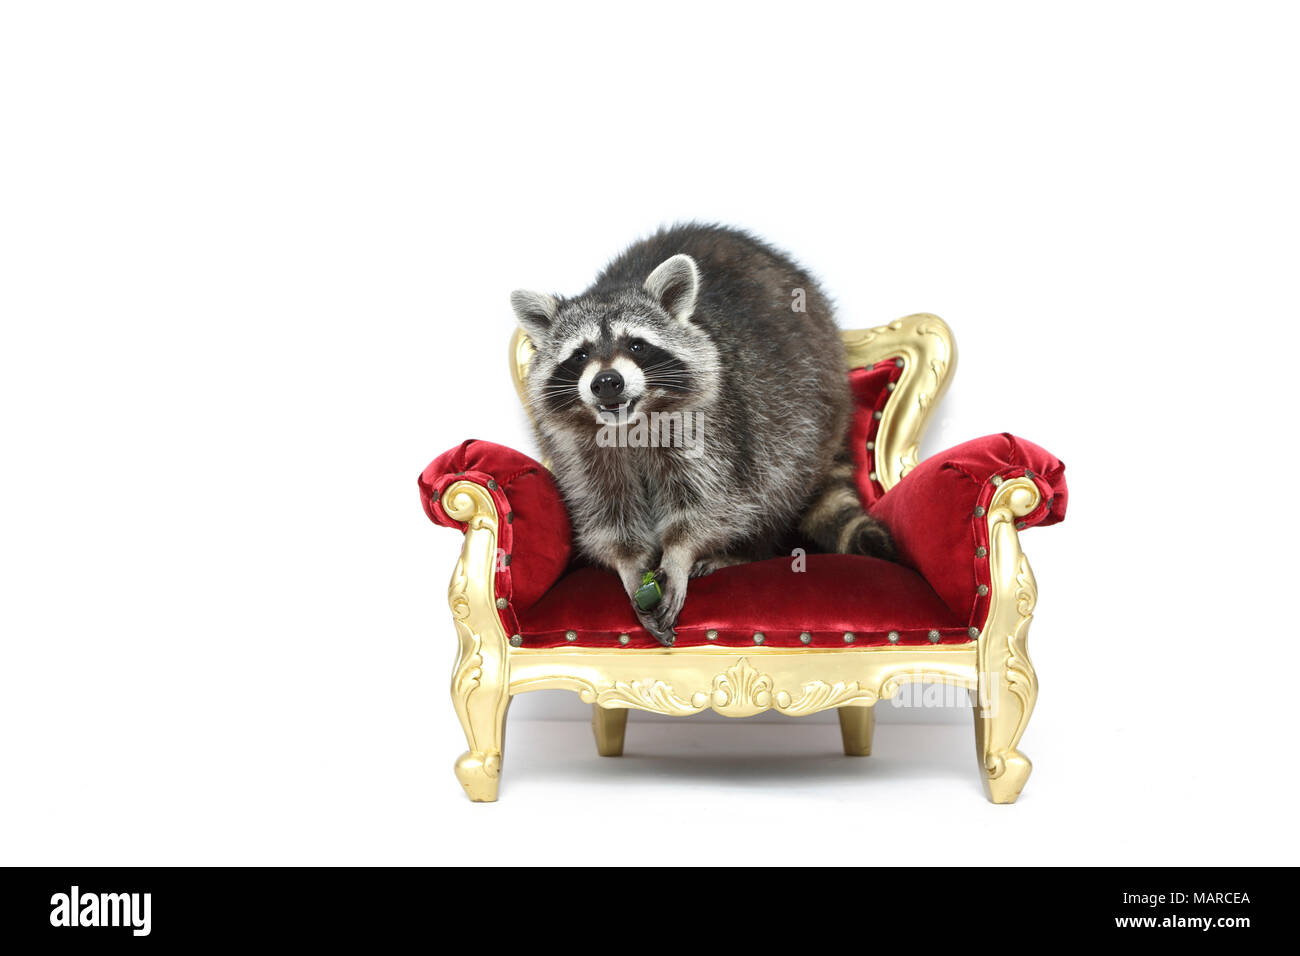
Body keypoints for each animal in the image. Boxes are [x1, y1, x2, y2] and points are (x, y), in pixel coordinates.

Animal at [512, 223, 894, 646]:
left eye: (636, 345)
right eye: (580, 355)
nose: (607, 382)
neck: (630, 424)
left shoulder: (712, 421)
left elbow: (711, 501)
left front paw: (680, 553)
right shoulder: (576, 447)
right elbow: (607, 511)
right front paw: (630, 564)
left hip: (802, 407)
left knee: (778, 474)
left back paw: (748, 550)